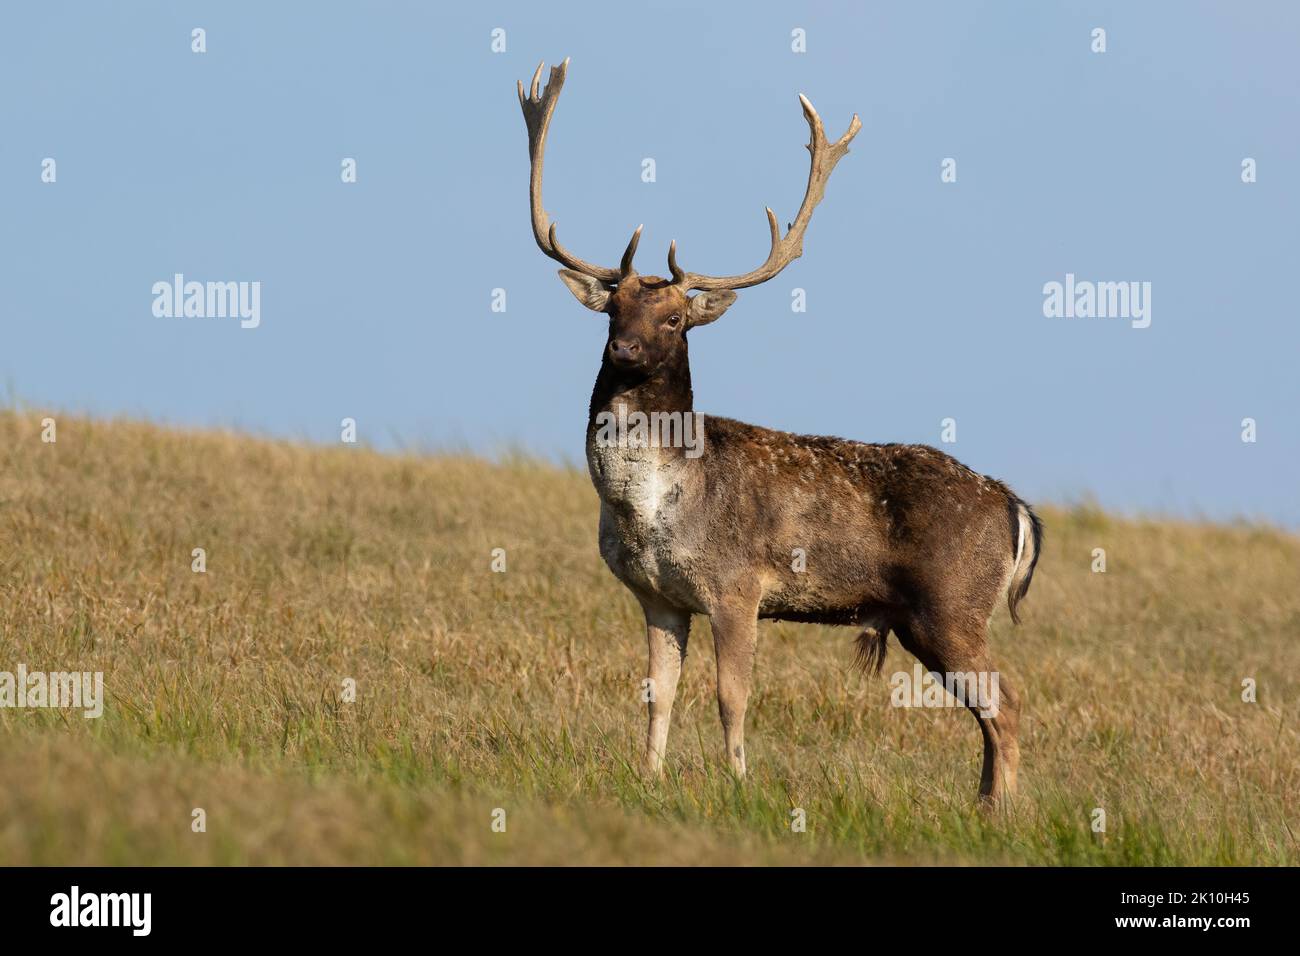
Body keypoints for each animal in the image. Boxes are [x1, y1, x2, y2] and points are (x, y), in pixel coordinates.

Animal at [518, 59, 1042, 805]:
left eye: (675, 318)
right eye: (613, 307)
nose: (624, 350)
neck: (649, 504)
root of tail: (1017, 508)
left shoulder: (737, 588)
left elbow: (731, 696)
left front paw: (738, 782)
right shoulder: (657, 596)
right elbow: (658, 694)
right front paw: (648, 776)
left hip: (952, 605)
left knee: (1009, 704)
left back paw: (1000, 811)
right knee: (991, 713)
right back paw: (981, 804)